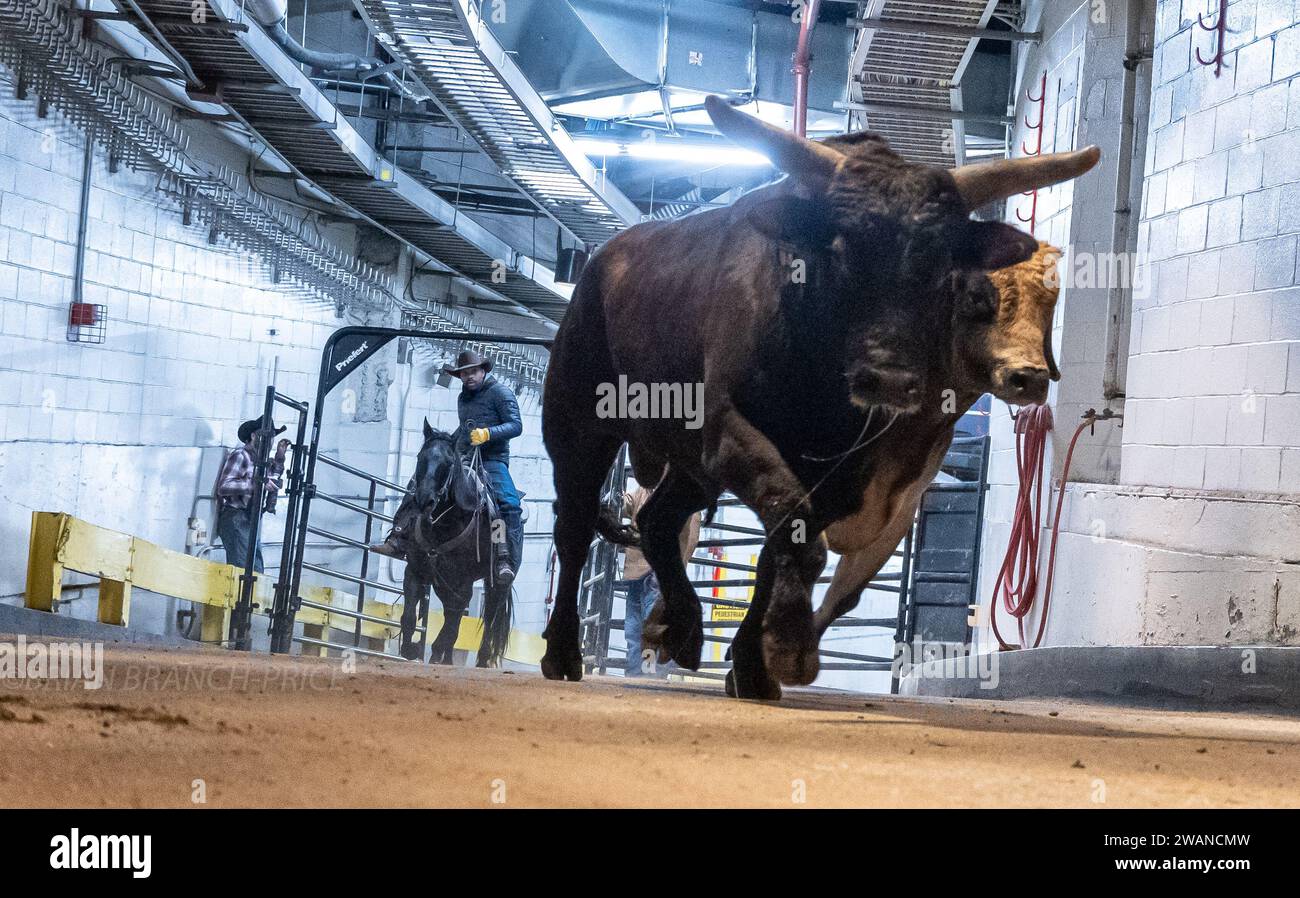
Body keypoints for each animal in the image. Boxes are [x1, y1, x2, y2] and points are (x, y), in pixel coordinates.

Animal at [539, 95, 1098, 695]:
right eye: (840, 248)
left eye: (944, 267)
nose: (890, 380)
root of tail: (605, 258)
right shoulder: (728, 430)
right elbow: (796, 532)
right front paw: (786, 647)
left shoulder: (847, 479)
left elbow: (785, 546)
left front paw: (753, 662)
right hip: (578, 424)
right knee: (574, 528)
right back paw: (564, 651)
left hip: (690, 467)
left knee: (657, 522)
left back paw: (685, 629)